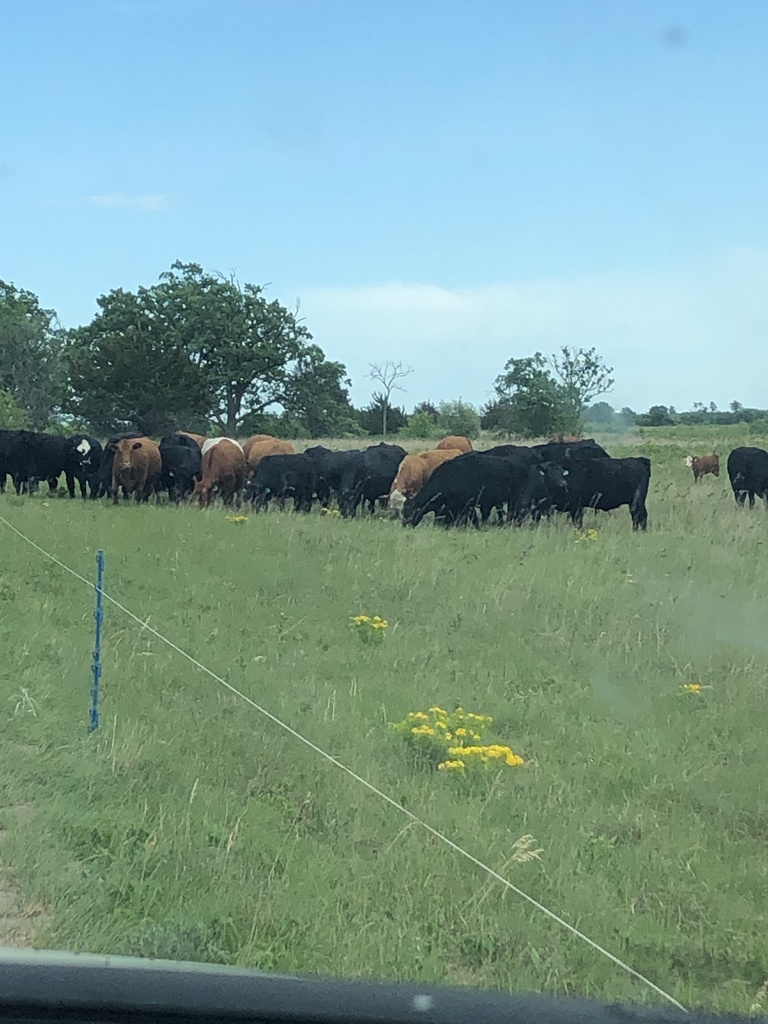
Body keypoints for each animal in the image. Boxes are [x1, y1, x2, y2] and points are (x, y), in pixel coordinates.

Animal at [402, 450, 537, 529]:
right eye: (404, 510)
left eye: (411, 511)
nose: (404, 524)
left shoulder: (467, 505)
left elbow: (473, 519)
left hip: (516, 499)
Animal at [519, 456, 651, 531]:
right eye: (550, 473)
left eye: (561, 472)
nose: (562, 483)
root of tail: (640, 460)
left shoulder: (577, 506)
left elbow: (578, 522)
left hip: (637, 499)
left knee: (638, 514)